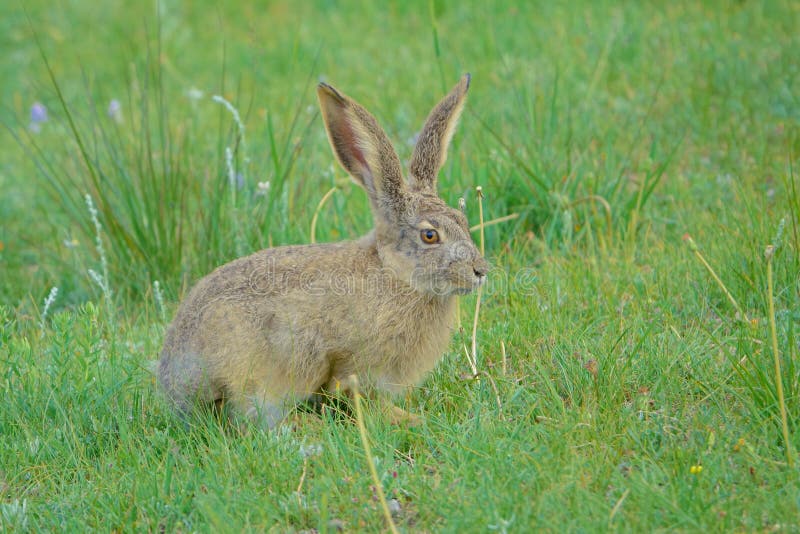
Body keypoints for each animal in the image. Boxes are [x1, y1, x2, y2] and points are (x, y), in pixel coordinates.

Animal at [157, 74, 489, 428]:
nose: (480, 271)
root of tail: (174, 383)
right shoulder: (352, 362)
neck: (396, 275)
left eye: (463, 221)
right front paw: (407, 419)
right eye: (429, 236)